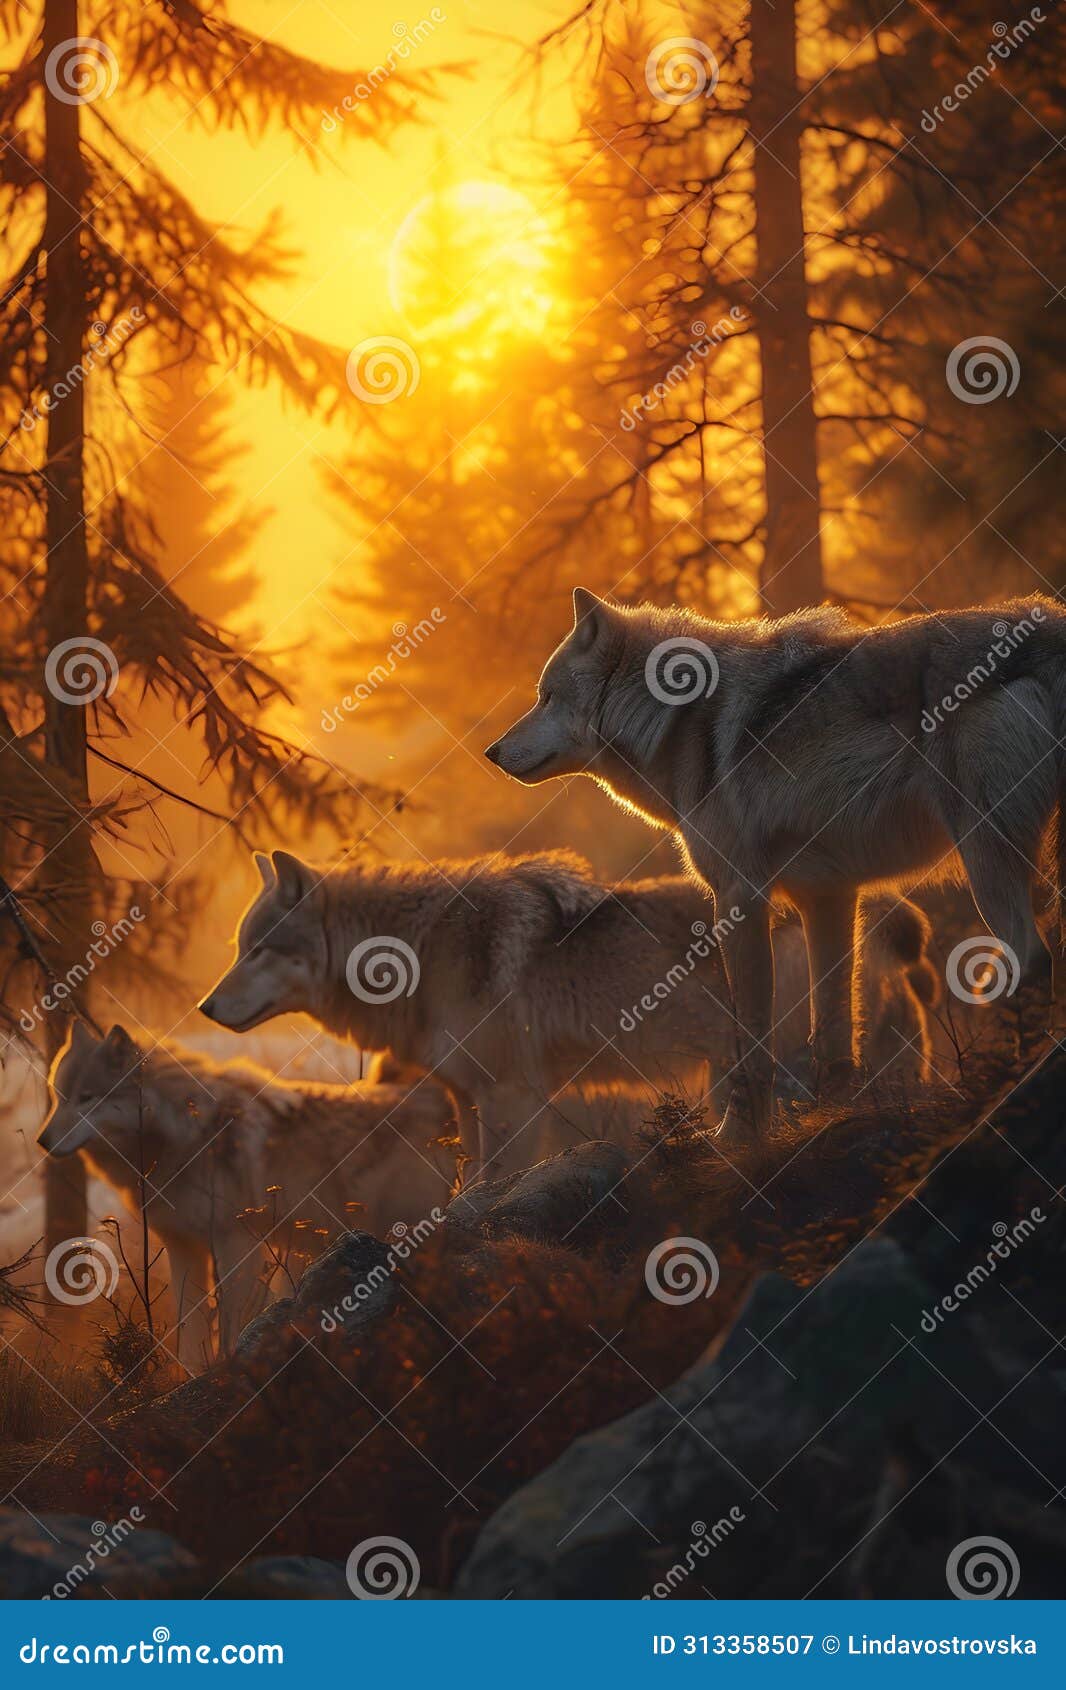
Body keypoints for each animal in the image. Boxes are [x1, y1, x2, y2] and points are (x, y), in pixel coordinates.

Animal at [39, 1022, 453, 1367]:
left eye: (86, 1097)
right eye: (58, 1096)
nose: (43, 1140)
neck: (187, 1137)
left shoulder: (236, 1240)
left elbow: (230, 1321)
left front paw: (226, 1367)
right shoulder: (184, 1247)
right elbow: (190, 1329)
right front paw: (188, 1379)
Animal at [200, 848, 937, 1180]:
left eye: (260, 950)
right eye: (237, 948)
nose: (204, 1007)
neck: (416, 957)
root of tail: (886, 911)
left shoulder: (512, 1096)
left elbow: (494, 1186)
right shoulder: (469, 1098)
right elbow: (468, 1184)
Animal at [485, 590, 1064, 1139]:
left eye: (546, 697)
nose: (491, 752)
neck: (681, 721)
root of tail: (1050, 624)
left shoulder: (739, 897)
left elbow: (751, 1045)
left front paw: (739, 1138)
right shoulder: (828, 896)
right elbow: (831, 1033)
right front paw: (831, 1116)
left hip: (985, 859)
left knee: (1032, 959)